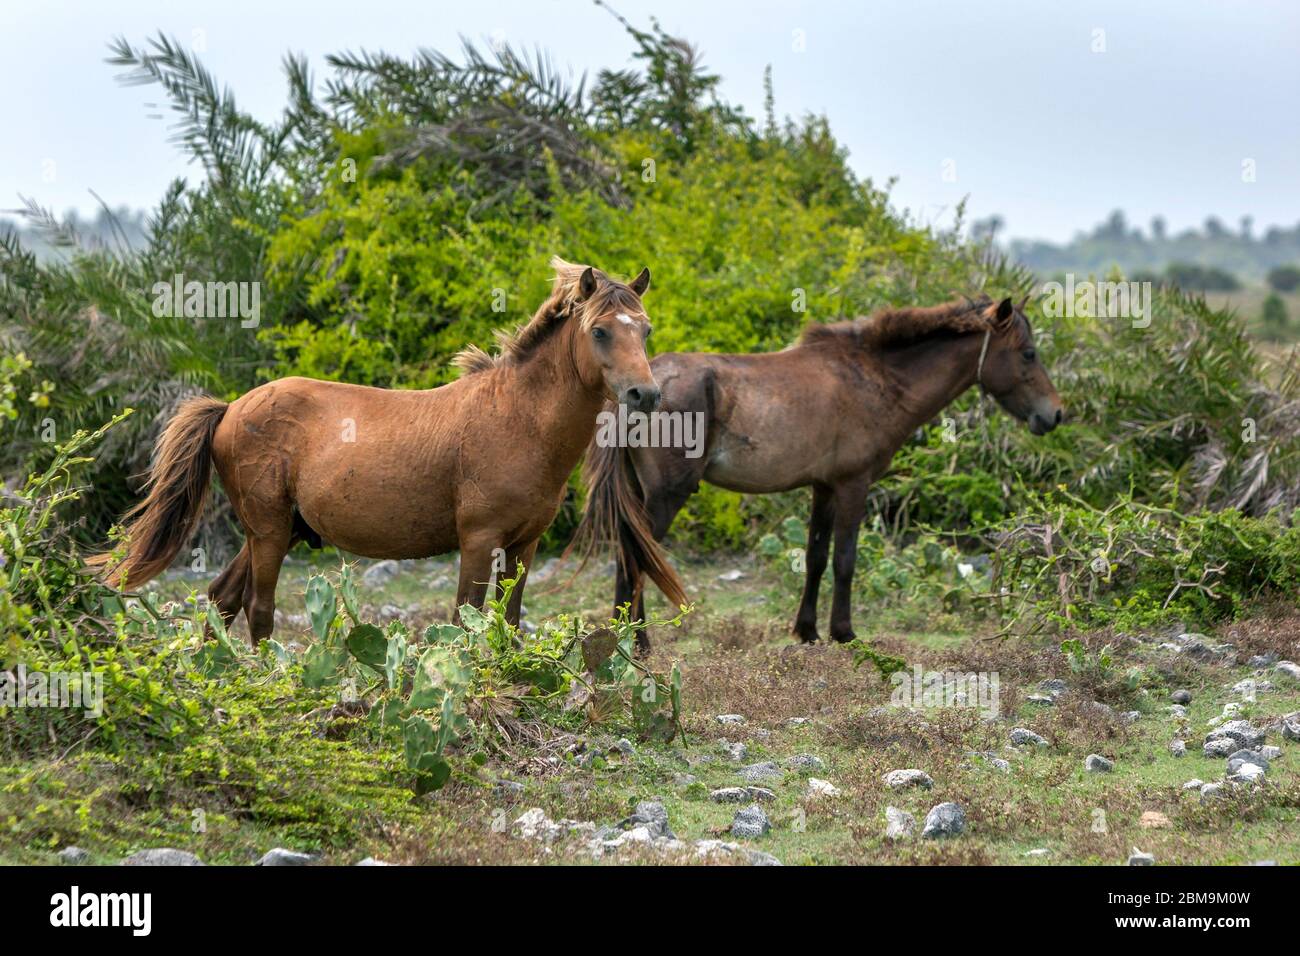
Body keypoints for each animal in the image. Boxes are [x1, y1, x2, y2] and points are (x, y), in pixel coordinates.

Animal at [92, 257, 686, 645]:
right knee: (258, 610)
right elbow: (464, 619)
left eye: (645, 329)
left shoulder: (525, 545)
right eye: (601, 331)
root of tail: (232, 408)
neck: (516, 418)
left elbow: (509, 623)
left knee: (222, 597)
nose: (646, 394)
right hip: (269, 532)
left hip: (275, 530)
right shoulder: (479, 541)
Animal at [574, 294, 1064, 651]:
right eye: (1028, 353)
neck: (874, 378)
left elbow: (816, 558)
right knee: (637, 558)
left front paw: (807, 630)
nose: (1055, 414)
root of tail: (640, 388)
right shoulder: (852, 486)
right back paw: (637, 642)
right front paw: (844, 631)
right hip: (665, 496)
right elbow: (846, 560)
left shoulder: (824, 488)